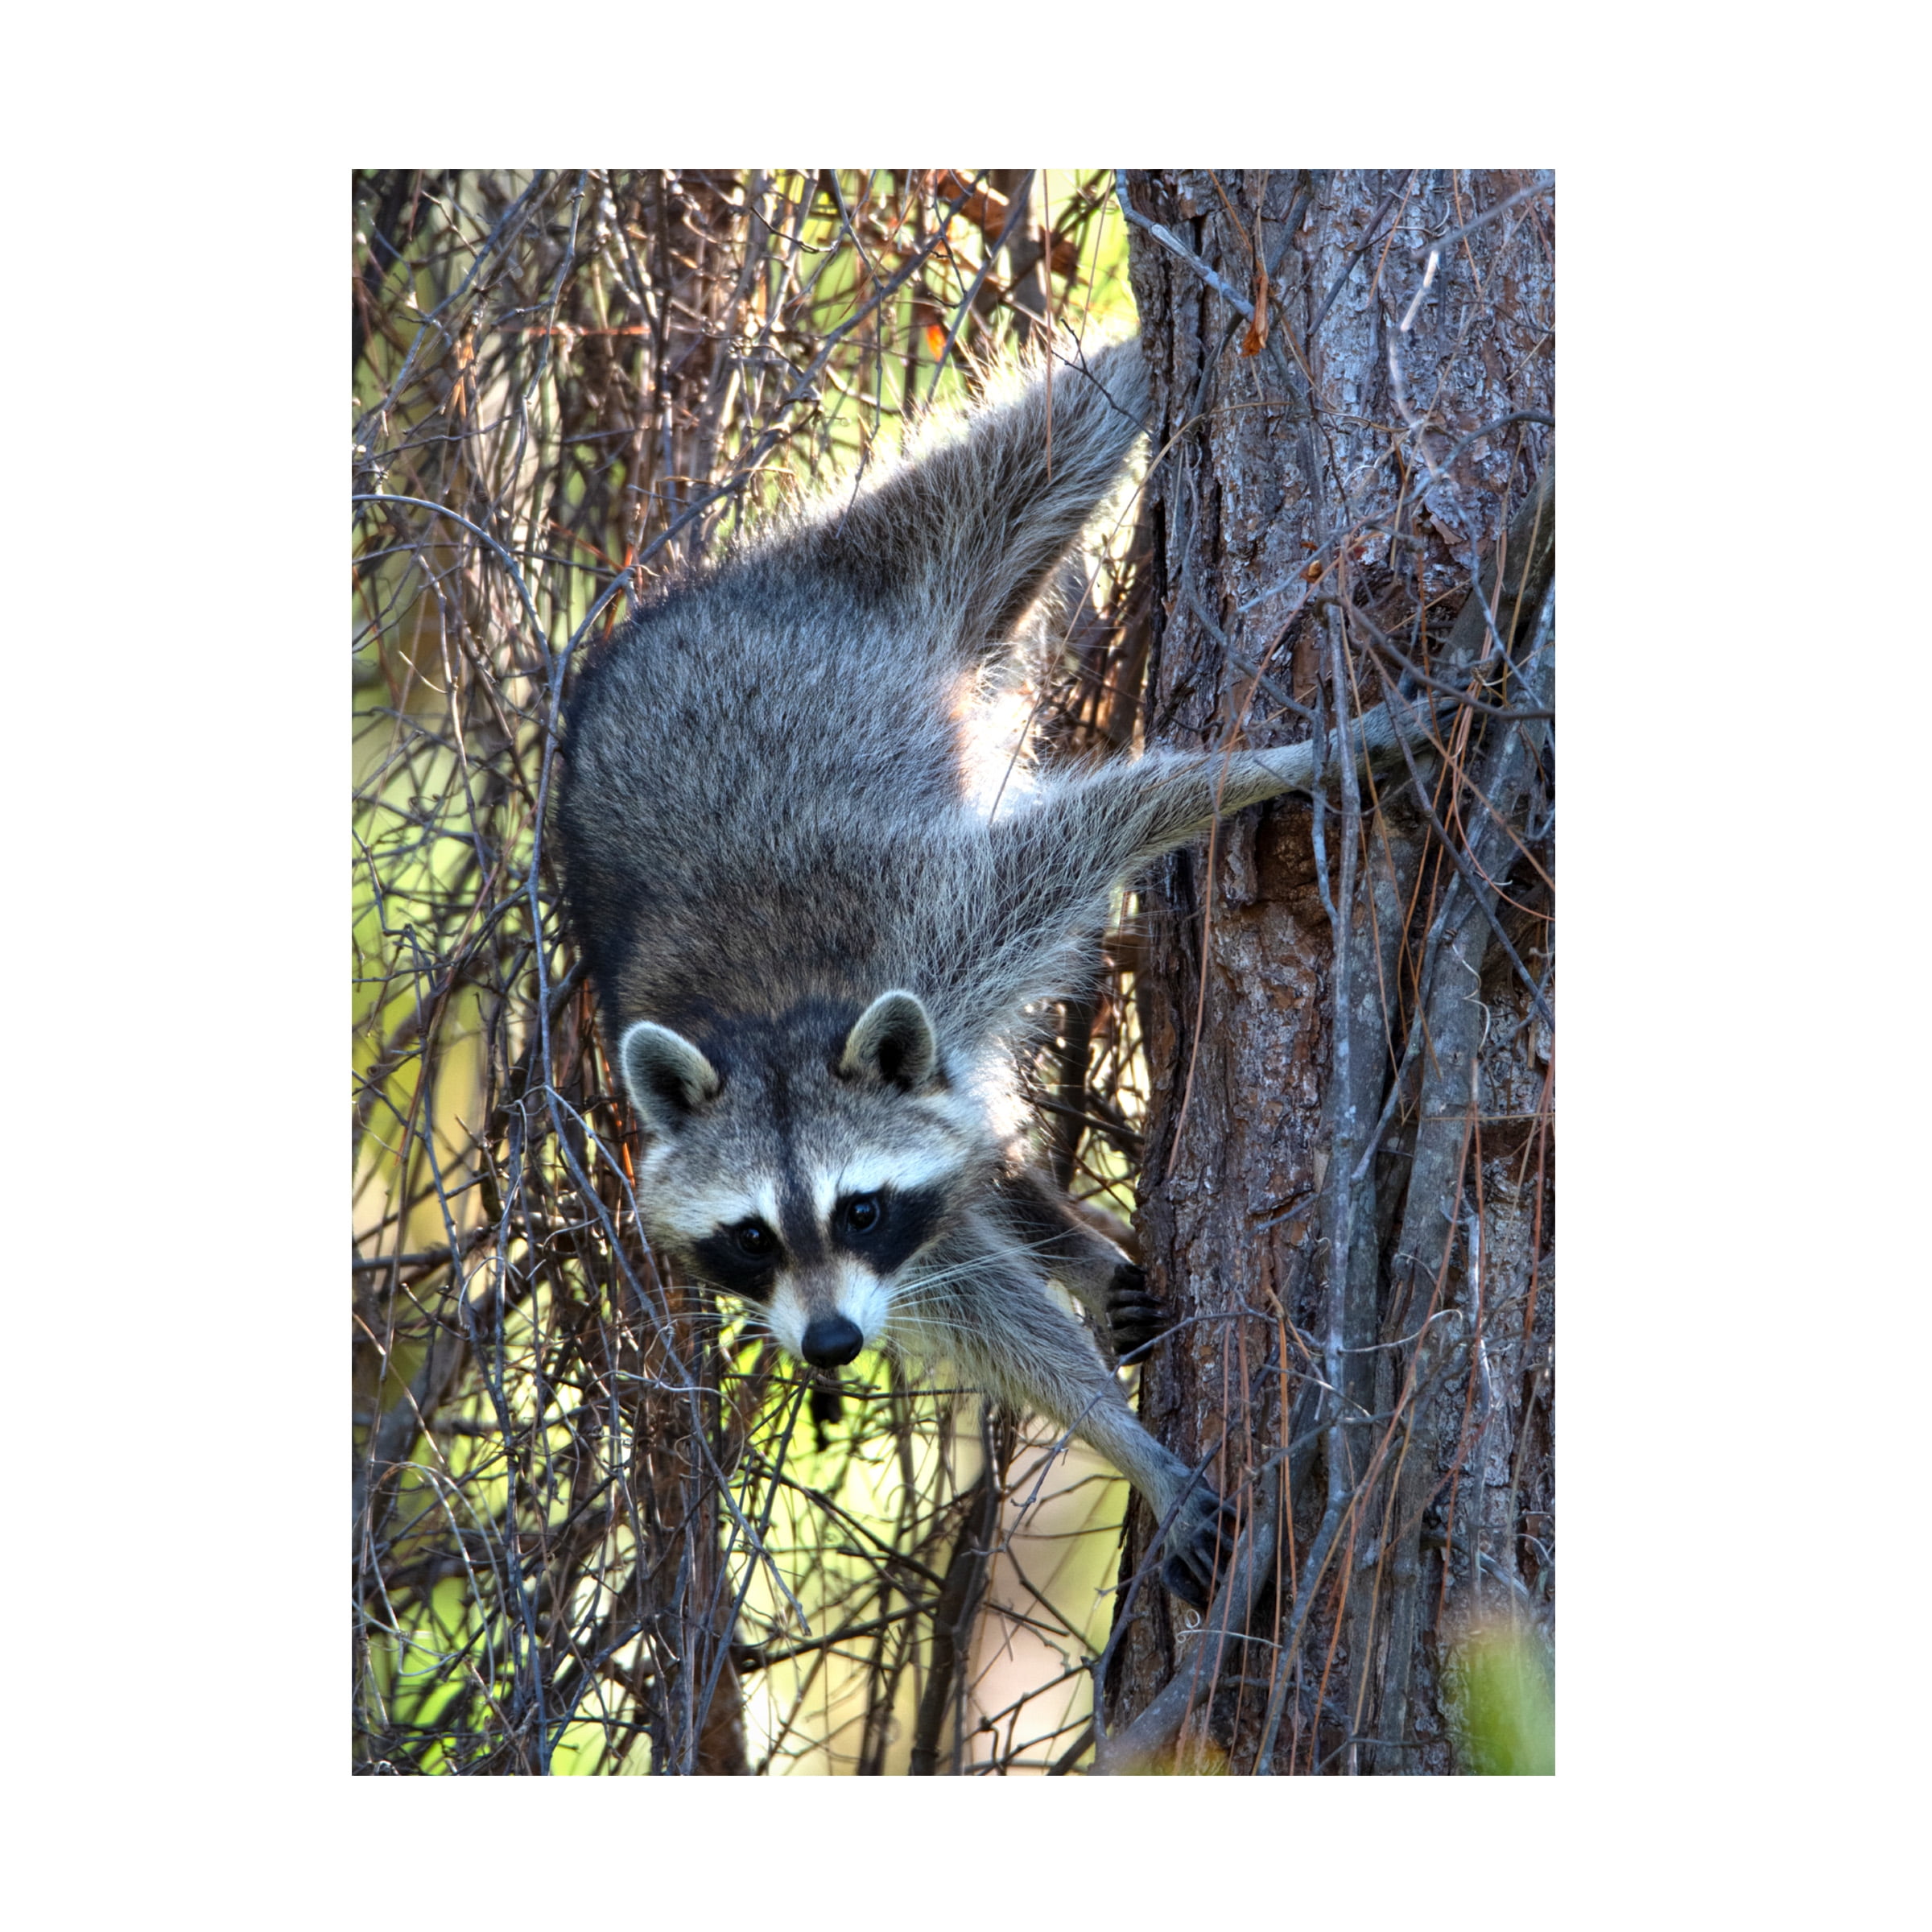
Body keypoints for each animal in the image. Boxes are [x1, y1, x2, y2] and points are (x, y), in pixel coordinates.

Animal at [557, 335, 1430, 1607]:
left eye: (857, 1207)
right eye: (752, 1237)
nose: (830, 1349)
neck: (773, 1026)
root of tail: (707, 594)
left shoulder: (941, 924)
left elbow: (1116, 818)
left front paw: (1287, 760)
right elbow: (972, 1291)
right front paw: (1121, 1429)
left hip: (894, 573)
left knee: (1042, 446)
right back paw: (1071, 1243)